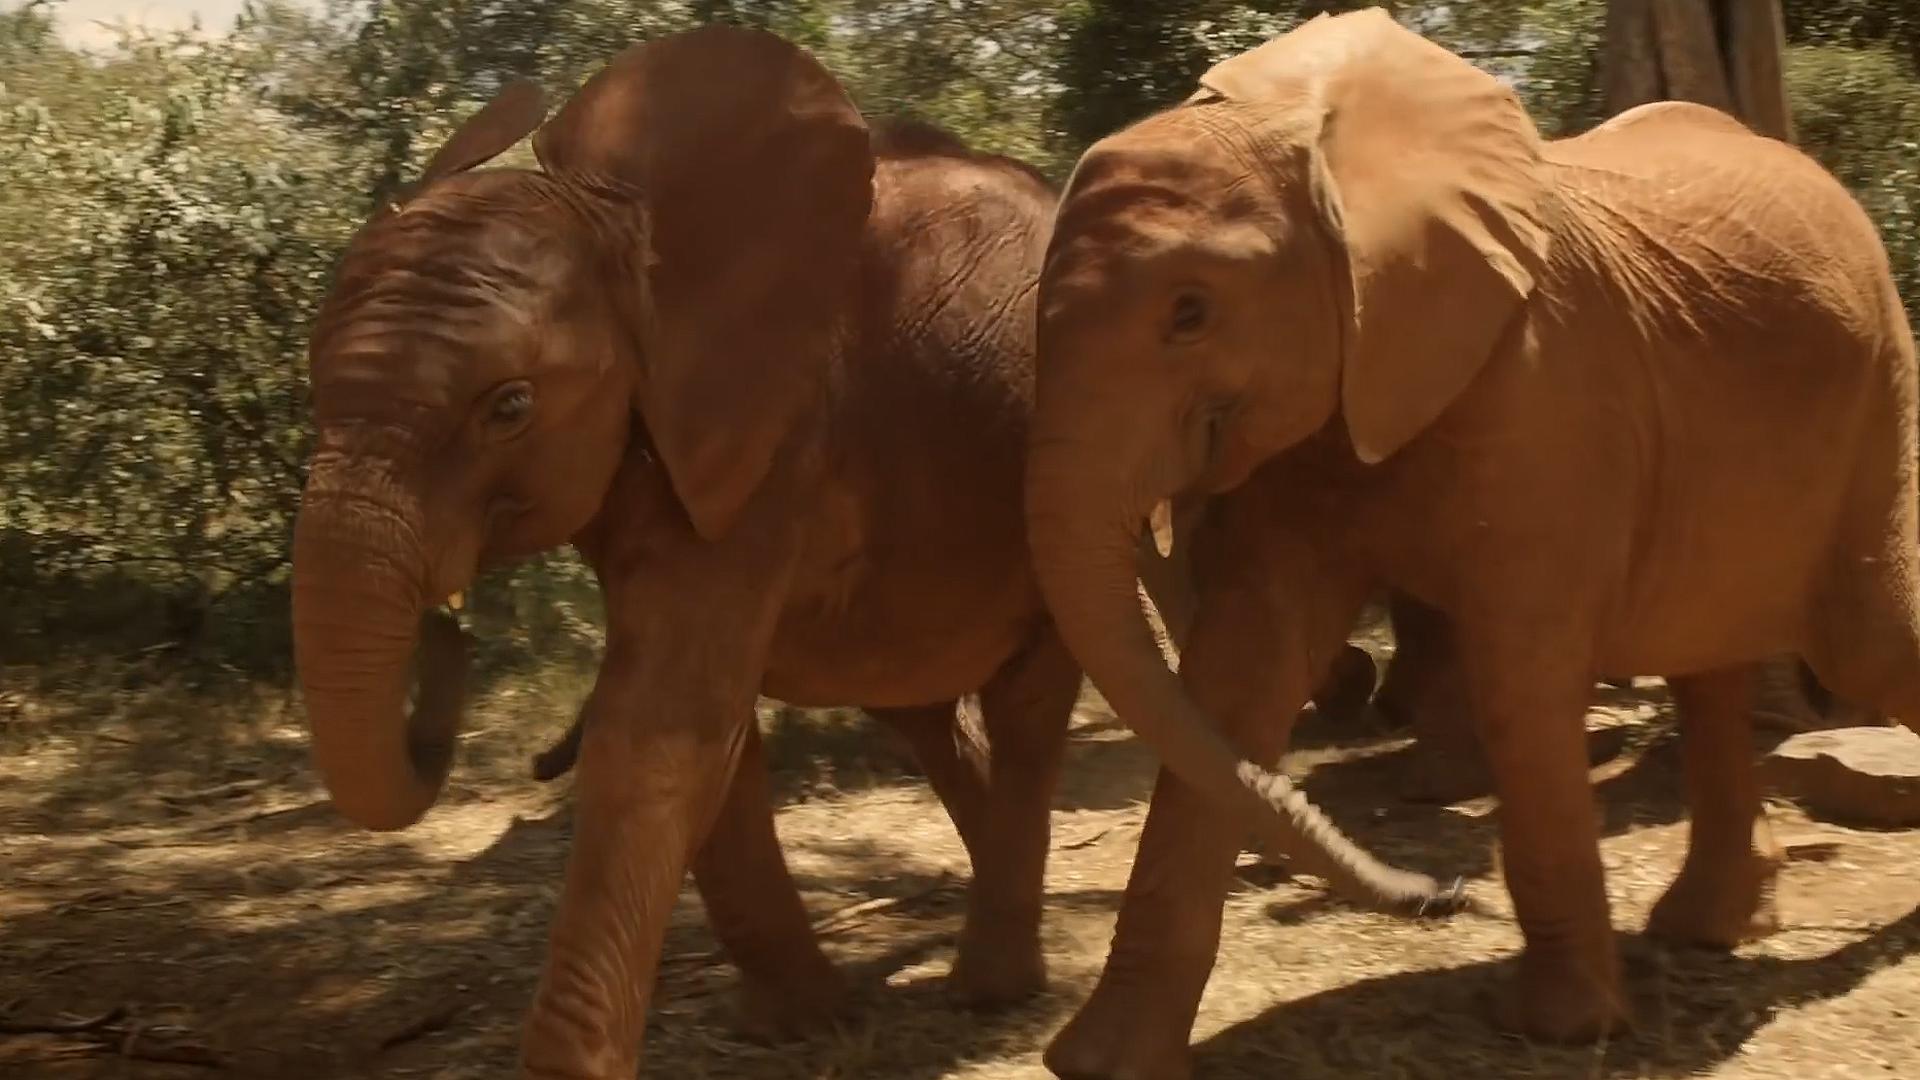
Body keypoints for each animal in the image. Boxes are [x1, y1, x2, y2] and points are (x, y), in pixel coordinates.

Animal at [288, 26, 1446, 1079]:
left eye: (509, 407)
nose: (446, 632)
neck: (622, 221)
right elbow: (711, 734)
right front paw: (802, 1026)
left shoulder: (778, 426)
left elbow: (657, 725)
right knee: (926, 712)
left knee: (1025, 704)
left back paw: (994, 991)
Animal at [1021, 8, 1920, 1076]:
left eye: (1189, 314)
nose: (1439, 897)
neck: (1329, 158)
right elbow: (1240, 676)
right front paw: (1096, 1058)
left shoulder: (1545, 389)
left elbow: (1520, 678)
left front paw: (1562, 1028)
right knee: (1708, 661)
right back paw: (1709, 929)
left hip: (1879, 393)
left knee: (1866, 640)